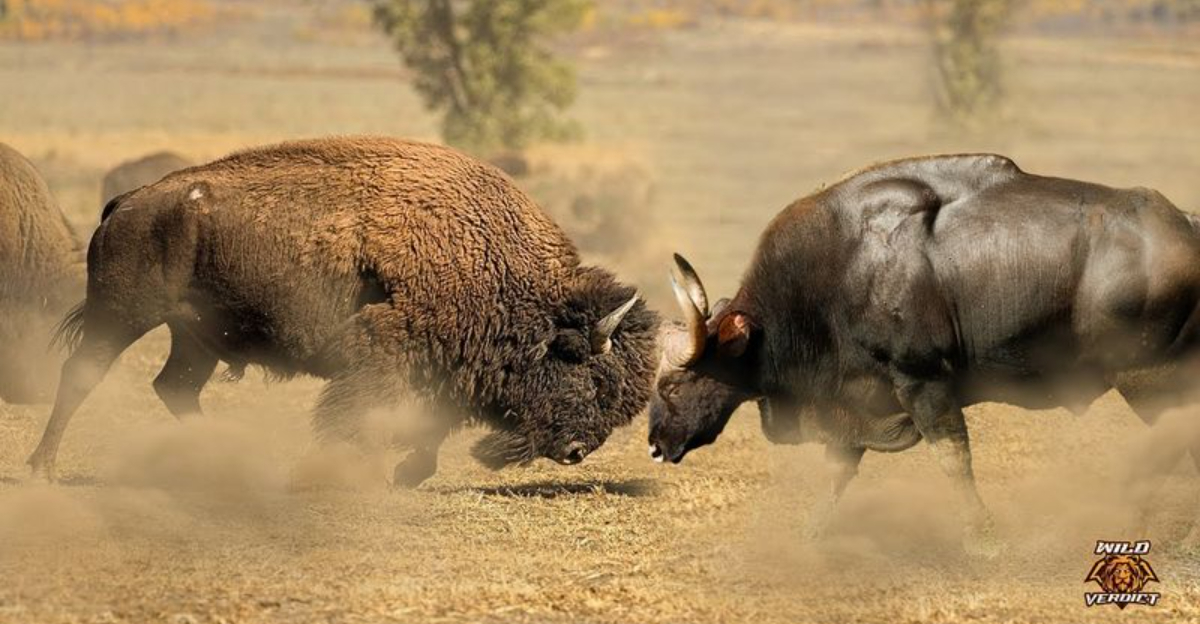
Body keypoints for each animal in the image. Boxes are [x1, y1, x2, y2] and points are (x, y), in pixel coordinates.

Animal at [28, 137, 658, 486]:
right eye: (593, 377)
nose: (576, 453)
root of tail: (126, 202)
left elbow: (428, 432)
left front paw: (404, 474)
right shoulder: (381, 357)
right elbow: (357, 418)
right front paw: (358, 471)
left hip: (195, 337)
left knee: (174, 387)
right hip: (122, 316)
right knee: (81, 375)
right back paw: (43, 467)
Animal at [649, 154, 1200, 554]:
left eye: (674, 384)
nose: (654, 446)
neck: (839, 271)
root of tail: (1185, 225)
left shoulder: (922, 383)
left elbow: (953, 458)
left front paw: (982, 537)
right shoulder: (856, 400)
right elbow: (838, 472)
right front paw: (809, 534)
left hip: (1148, 379)